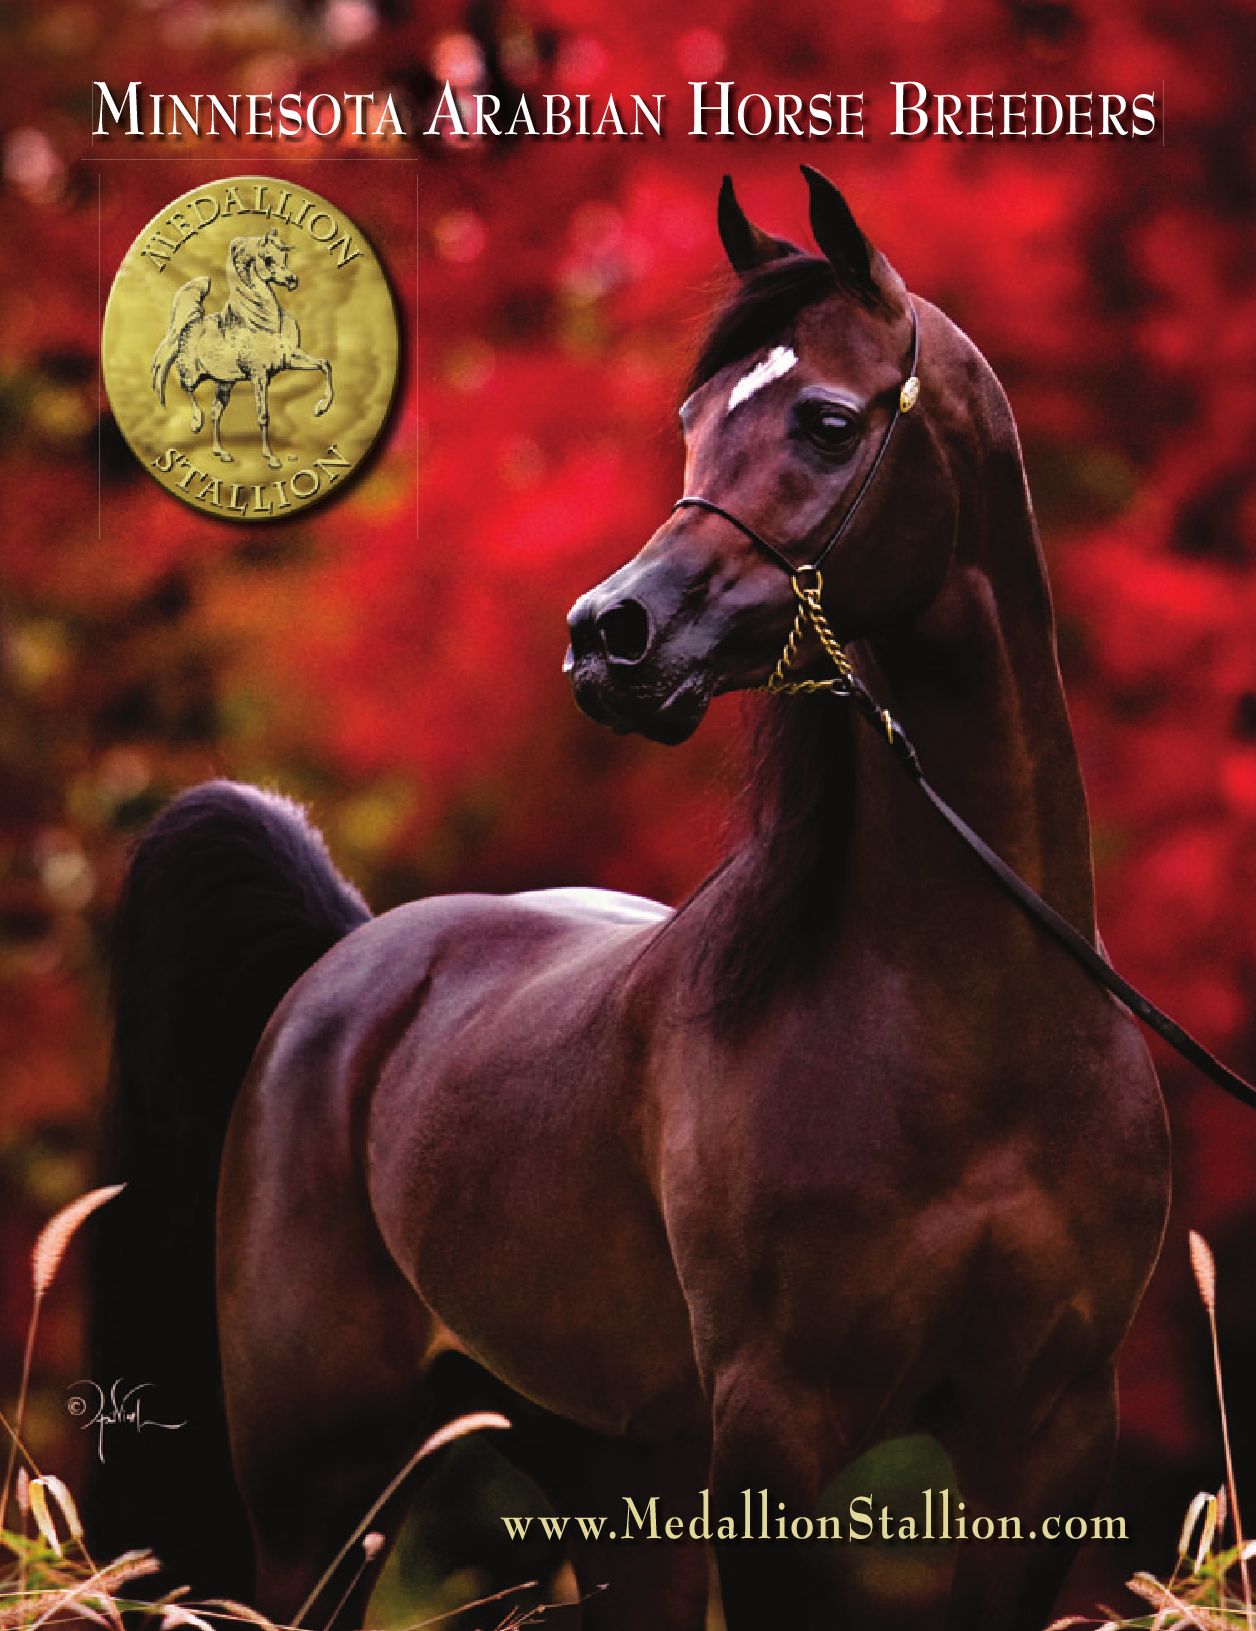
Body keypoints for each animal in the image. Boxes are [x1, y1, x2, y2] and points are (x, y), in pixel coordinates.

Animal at [150, 227, 333, 469]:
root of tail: (189, 324)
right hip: (192, 374)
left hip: (225, 383)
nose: (292, 280)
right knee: (186, 389)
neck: (263, 323)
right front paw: (271, 458)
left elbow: (325, 365)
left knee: (215, 411)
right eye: (268, 259)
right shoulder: (259, 375)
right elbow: (263, 415)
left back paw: (221, 453)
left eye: (284, 256)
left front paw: (321, 408)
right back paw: (196, 423)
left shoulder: (291, 358)